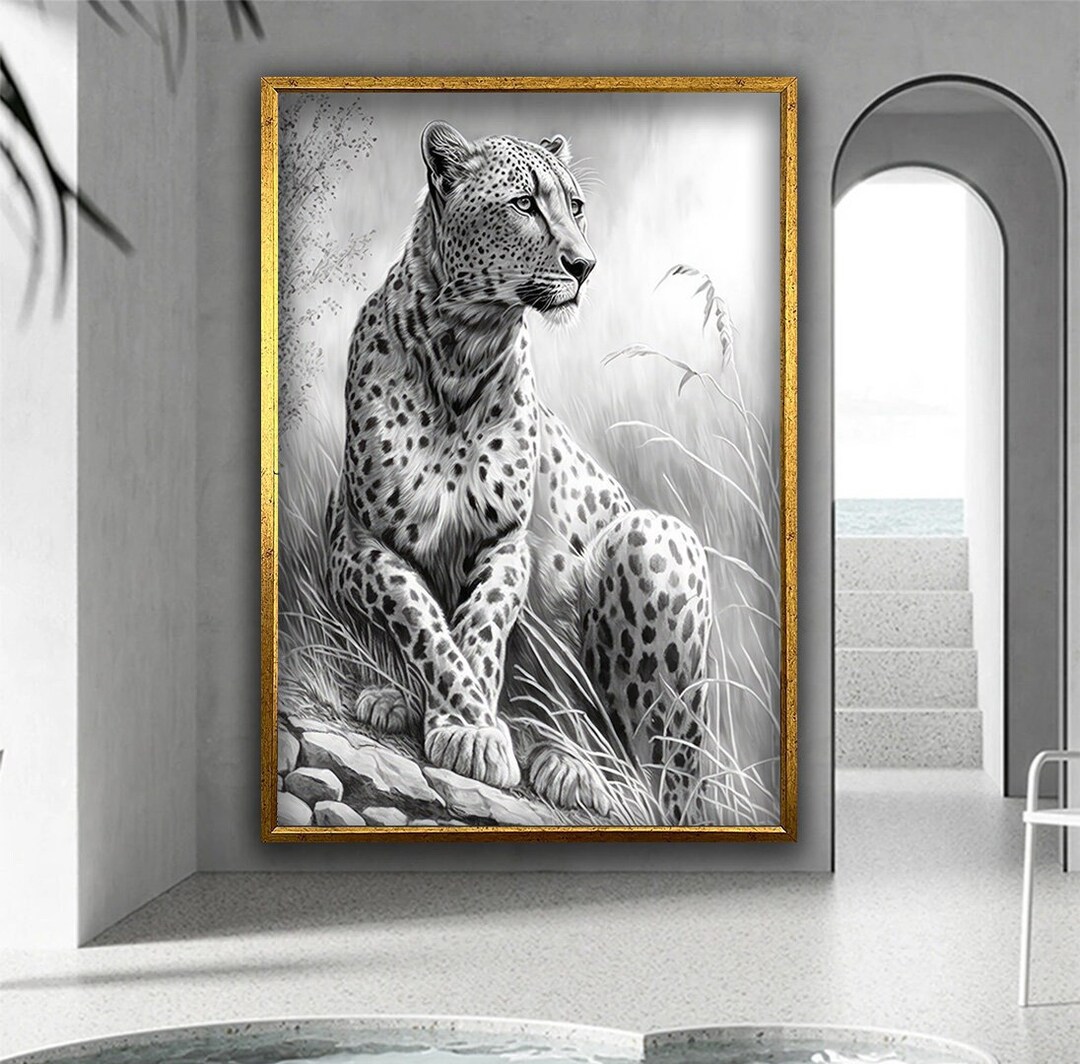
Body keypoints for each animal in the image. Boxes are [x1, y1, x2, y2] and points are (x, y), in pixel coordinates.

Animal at [326, 120, 711, 823]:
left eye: (575, 206)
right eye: (525, 203)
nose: (585, 266)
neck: (463, 347)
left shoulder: (504, 540)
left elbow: (480, 626)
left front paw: (470, 730)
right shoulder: (360, 540)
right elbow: (424, 621)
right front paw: (468, 725)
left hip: (652, 538)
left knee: (659, 769)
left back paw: (577, 768)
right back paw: (397, 700)